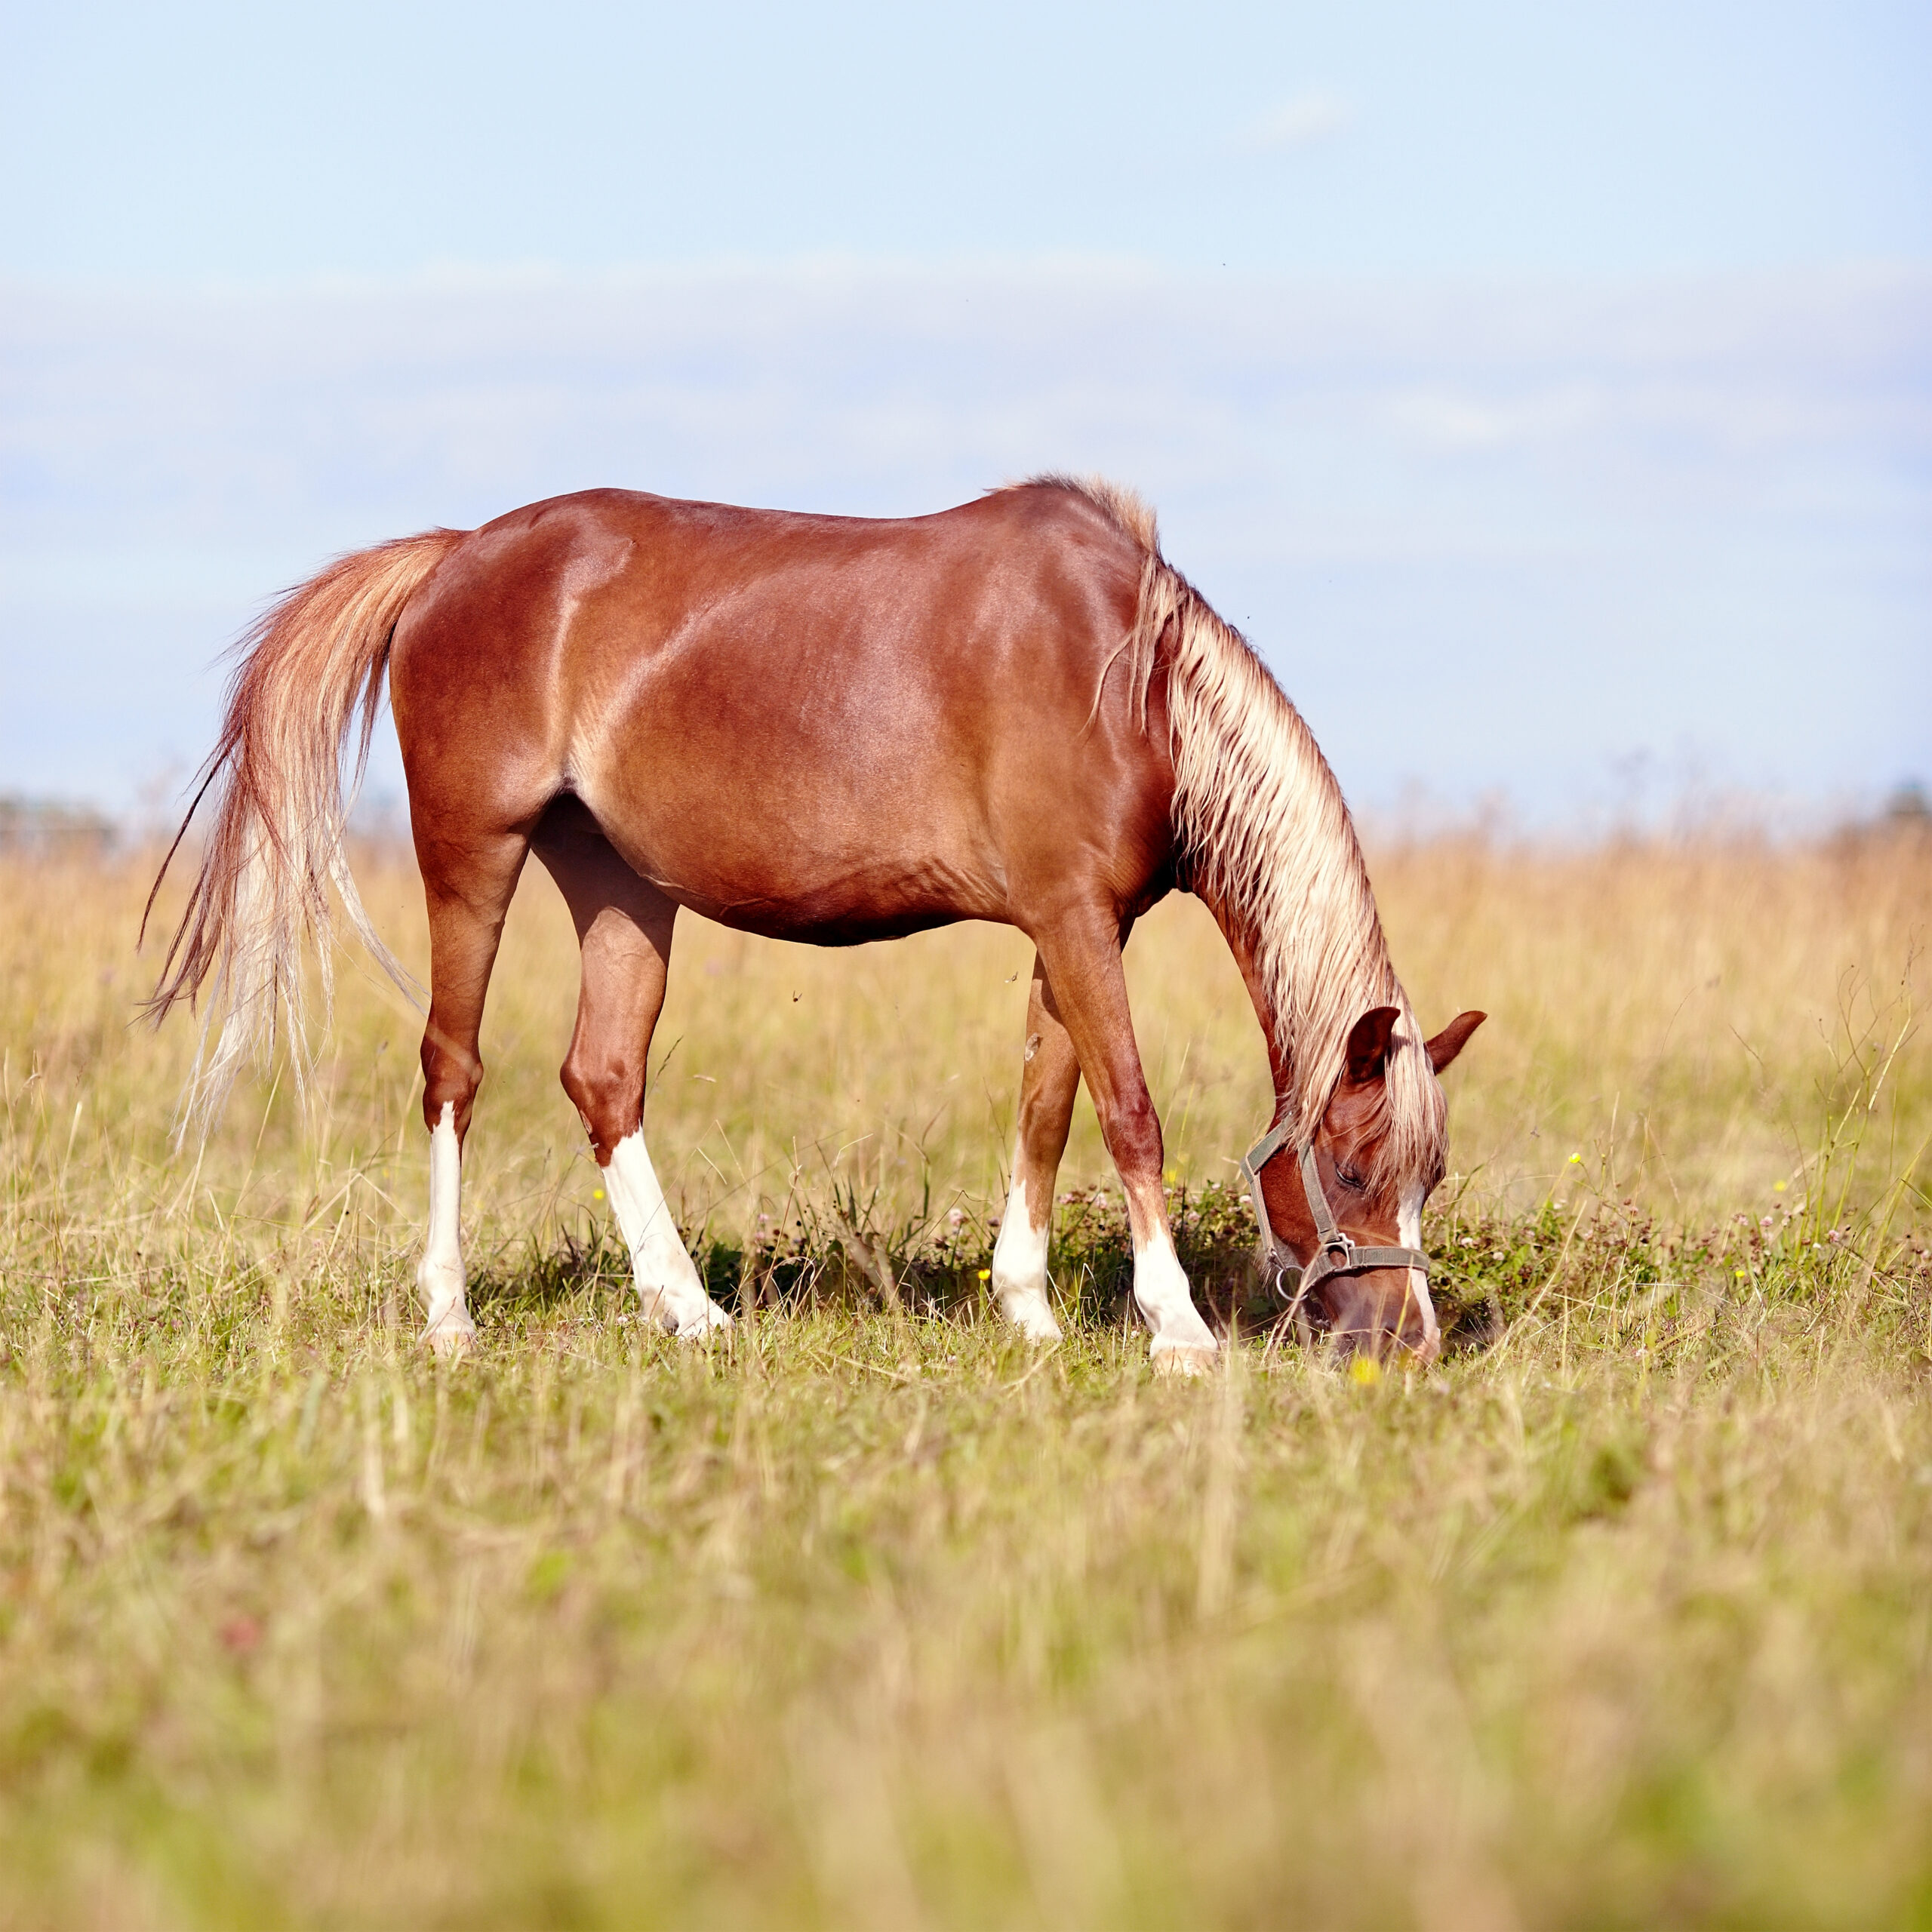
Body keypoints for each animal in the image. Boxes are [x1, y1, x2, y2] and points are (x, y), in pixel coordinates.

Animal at [145, 476, 1482, 1370]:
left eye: (1432, 1174)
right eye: (1353, 1169)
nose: (1410, 1340)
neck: (1125, 678)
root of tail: (452, 557)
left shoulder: (1074, 927)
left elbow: (1048, 1111)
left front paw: (1029, 1308)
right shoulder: (1074, 921)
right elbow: (1130, 1115)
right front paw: (1179, 1331)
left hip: (621, 886)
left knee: (603, 1078)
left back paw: (690, 1311)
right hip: (473, 851)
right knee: (452, 1071)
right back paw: (450, 1316)